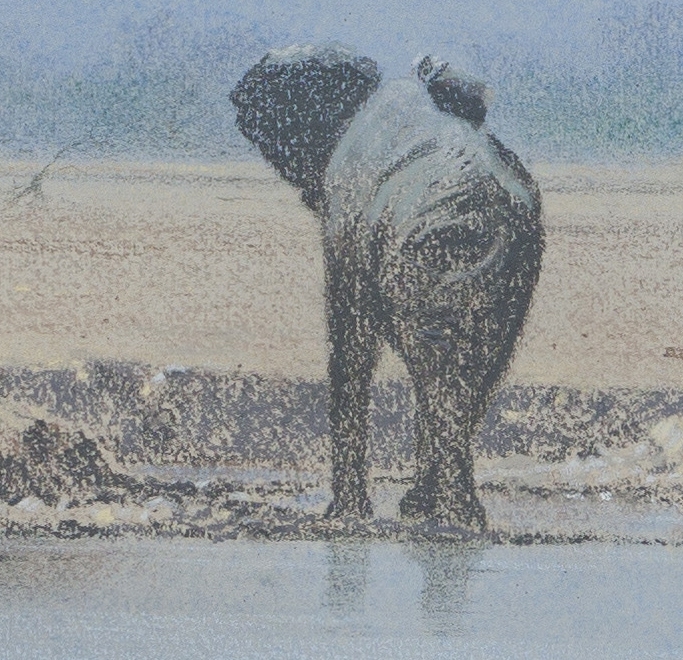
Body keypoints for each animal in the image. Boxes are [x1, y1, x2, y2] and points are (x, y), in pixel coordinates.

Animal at [230, 44, 544, 531]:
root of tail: (478, 209)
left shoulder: (348, 222)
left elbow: (350, 334)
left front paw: (345, 516)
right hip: (495, 268)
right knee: (474, 364)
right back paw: (451, 513)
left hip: (428, 257)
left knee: (441, 365)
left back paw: (449, 516)